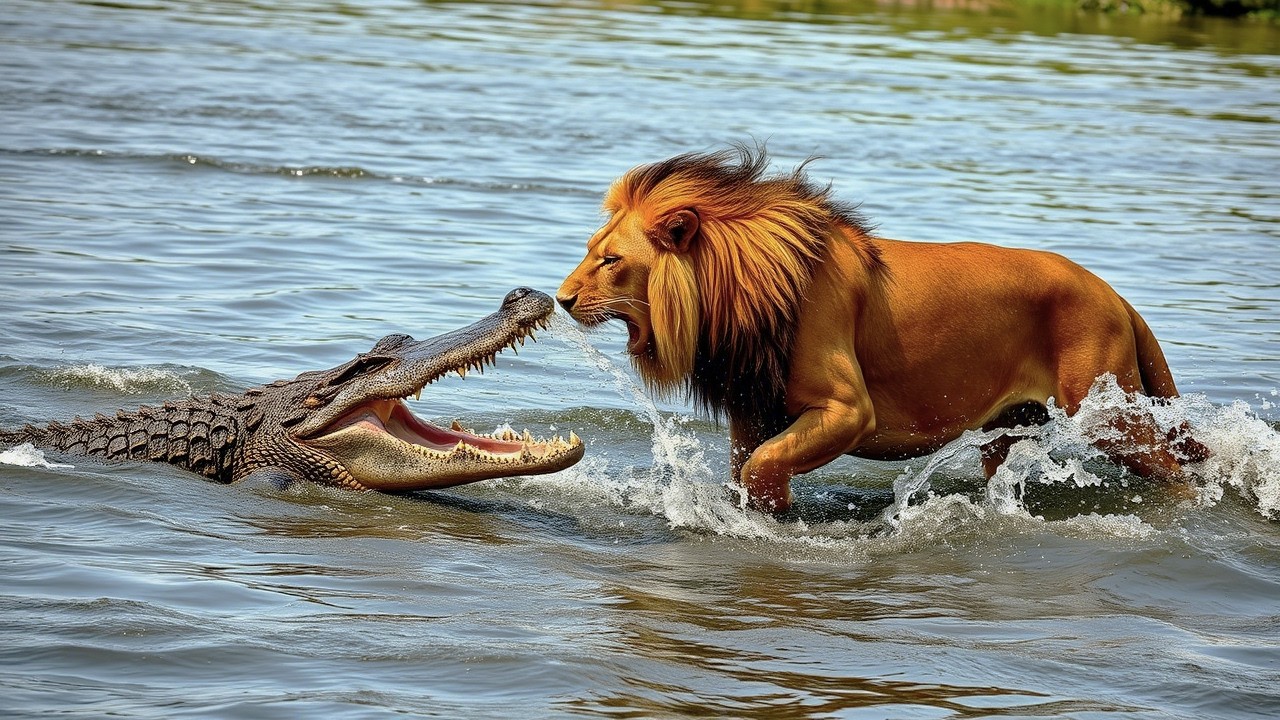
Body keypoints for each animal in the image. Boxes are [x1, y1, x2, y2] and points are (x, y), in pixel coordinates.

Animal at [557, 145, 1208, 513]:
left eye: (611, 260)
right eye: (590, 249)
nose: (562, 300)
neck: (737, 294)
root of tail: (1113, 292)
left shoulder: (849, 409)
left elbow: (762, 465)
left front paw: (773, 513)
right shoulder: (751, 406)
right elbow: (745, 466)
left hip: (1109, 417)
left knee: (1178, 471)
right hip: (1010, 430)